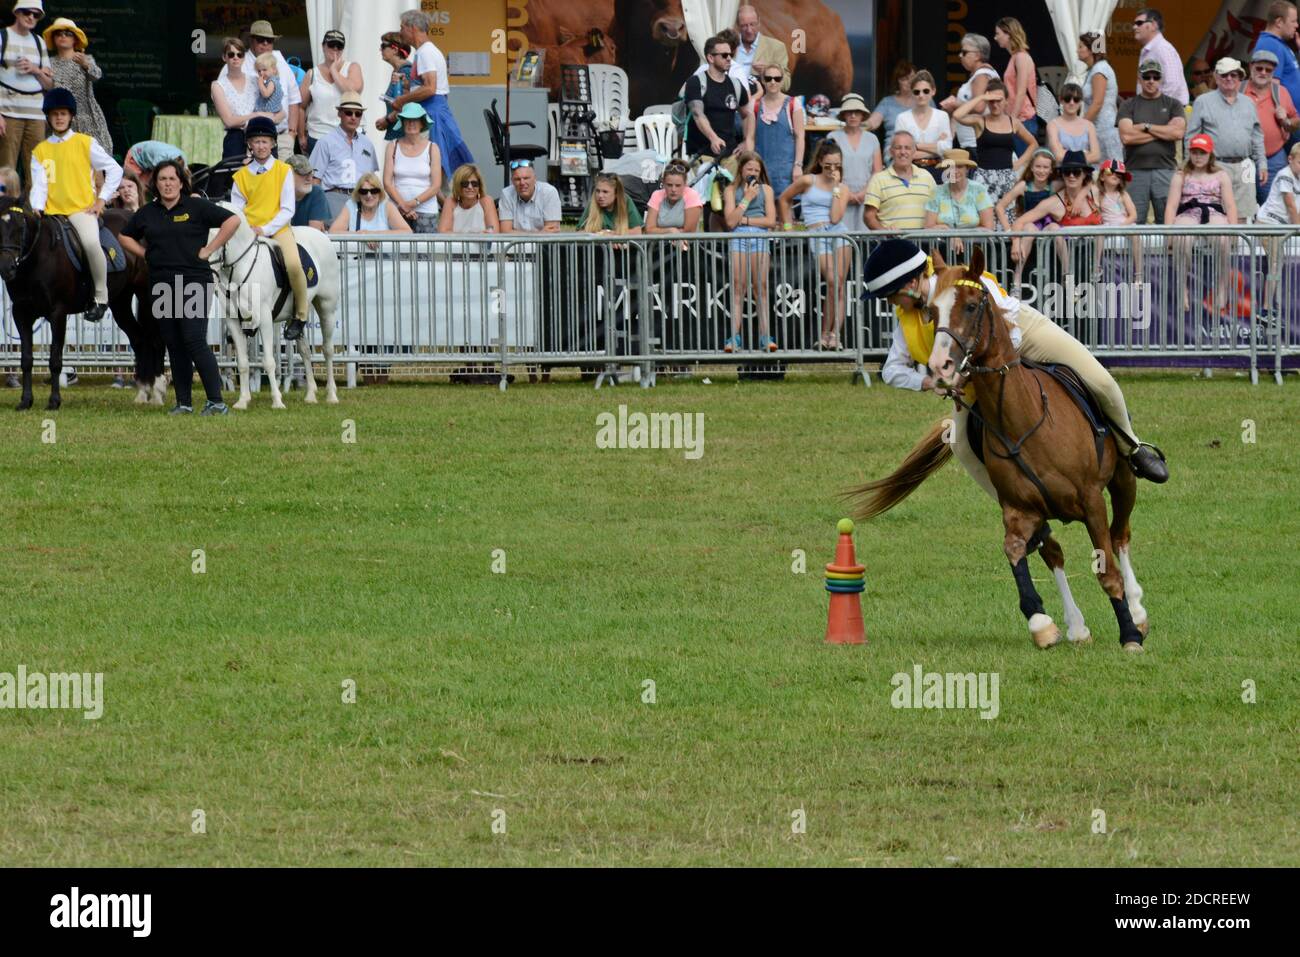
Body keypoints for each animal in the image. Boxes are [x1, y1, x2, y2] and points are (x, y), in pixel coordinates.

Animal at [0, 198, 165, 411]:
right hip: (120, 301)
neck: (38, 257)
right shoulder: (21, 313)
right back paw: (143, 392)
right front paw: (25, 401)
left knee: (156, 339)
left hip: (147, 296)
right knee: (139, 339)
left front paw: (54, 401)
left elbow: (55, 359)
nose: (6, 268)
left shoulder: (57, 313)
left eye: (21, 228)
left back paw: (158, 392)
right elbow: (26, 359)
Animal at [208, 204, 338, 409]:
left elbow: (269, 361)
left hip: (327, 307)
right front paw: (242, 401)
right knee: (305, 351)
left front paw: (277, 401)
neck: (242, 267)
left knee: (327, 349)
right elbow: (243, 363)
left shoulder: (265, 319)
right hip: (299, 316)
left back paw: (332, 395)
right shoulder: (233, 321)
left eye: (218, 235)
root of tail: (321, 235)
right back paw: (310, 394)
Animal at [852, 247, 1148, 653]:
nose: (941, 366)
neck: (1026, 421)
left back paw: (1136, 610)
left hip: (1121, 481)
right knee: (1053, 551)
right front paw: (1041, 622)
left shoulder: (1091, 501)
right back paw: (1076, 626)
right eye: (932, 313)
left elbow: (1106, 567)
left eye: (972, 305)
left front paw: (1129, 633)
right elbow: (1014, 550)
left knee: (1121, 536)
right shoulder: (1019, 510)